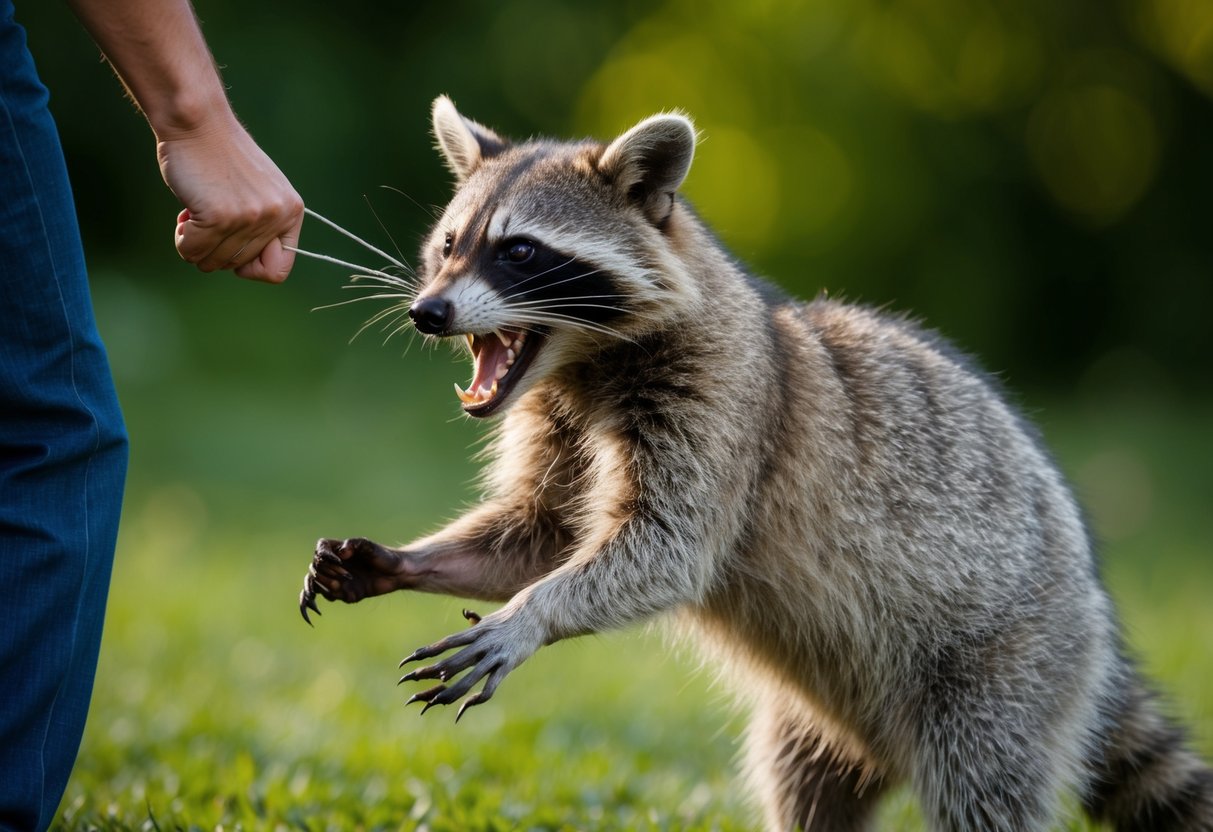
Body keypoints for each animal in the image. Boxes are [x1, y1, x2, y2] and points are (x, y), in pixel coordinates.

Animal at [299, 96, 1213, 831]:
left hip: (1006, 663)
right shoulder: (556, 421)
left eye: (518, 252)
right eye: (450, 244)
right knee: (803, 783)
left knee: (982, 784)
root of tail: (1092, 615)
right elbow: (539, 533)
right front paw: (410, 561)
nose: (428, 312)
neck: (577, 362)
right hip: (821, 720)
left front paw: (533, 614)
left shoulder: (725, 405)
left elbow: (665, 548)